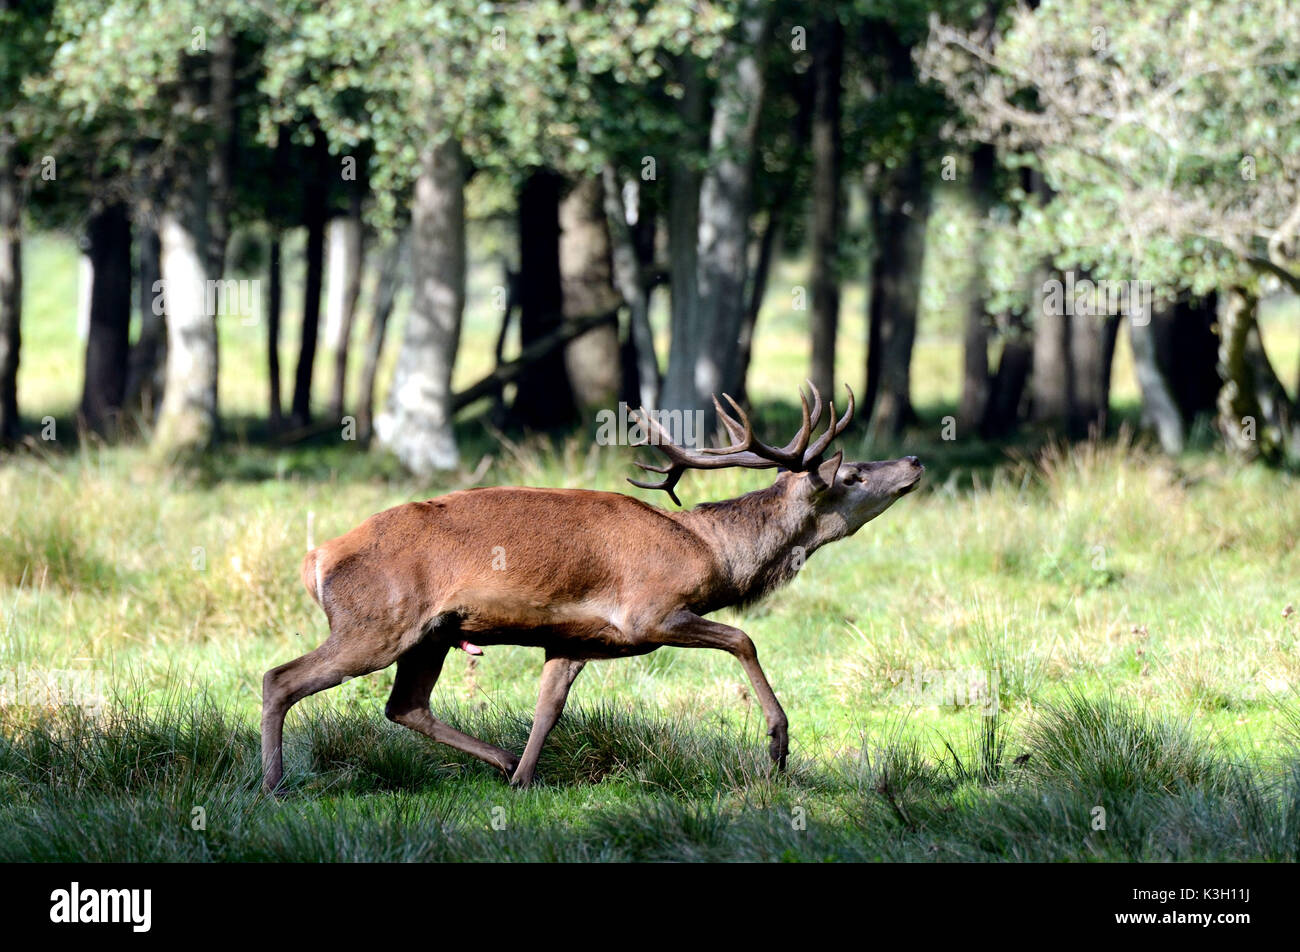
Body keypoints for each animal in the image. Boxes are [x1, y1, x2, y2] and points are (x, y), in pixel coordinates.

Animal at [261, 383, 923, 792]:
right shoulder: (650, 612)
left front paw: (525, 777)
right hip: (377, 621)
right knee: (279, 678)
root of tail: (317, 557)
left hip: (430, 634)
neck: (711, 553)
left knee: (405, 705)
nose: (914, 461)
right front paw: (778, 745)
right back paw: (273, 784)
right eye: (853, 473)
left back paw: (502, 760)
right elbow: (743, 639)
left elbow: (549, 708)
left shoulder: (576, 639)